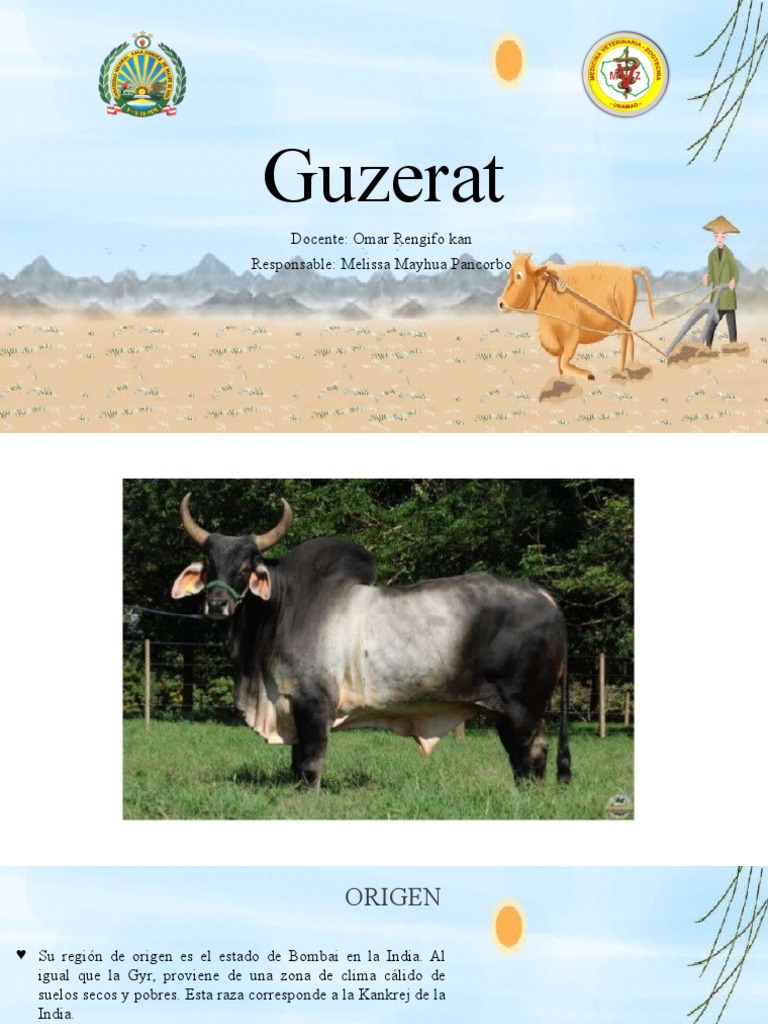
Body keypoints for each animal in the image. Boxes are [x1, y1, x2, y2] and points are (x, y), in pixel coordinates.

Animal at [171, 493, 571, 790]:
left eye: (245, 567)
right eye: (209, 565)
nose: (217, 605)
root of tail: (542, 594)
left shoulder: (313, 702)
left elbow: (311, 762)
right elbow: (296, 763)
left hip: (524, 705)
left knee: (533, 751)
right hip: (504, 709)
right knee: (517, 756)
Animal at [497, 251, 655, 379]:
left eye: (519, 275)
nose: (500, 303)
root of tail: (629, 269)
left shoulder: (571, 335)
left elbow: (563, 361)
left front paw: (588, 375)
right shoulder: (553, 334)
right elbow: (558, 359)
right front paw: (561, 378)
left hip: (623, 321)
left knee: (624, 340)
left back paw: (621, 371)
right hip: (625, 322)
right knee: (631, 338)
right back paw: (632, 364)